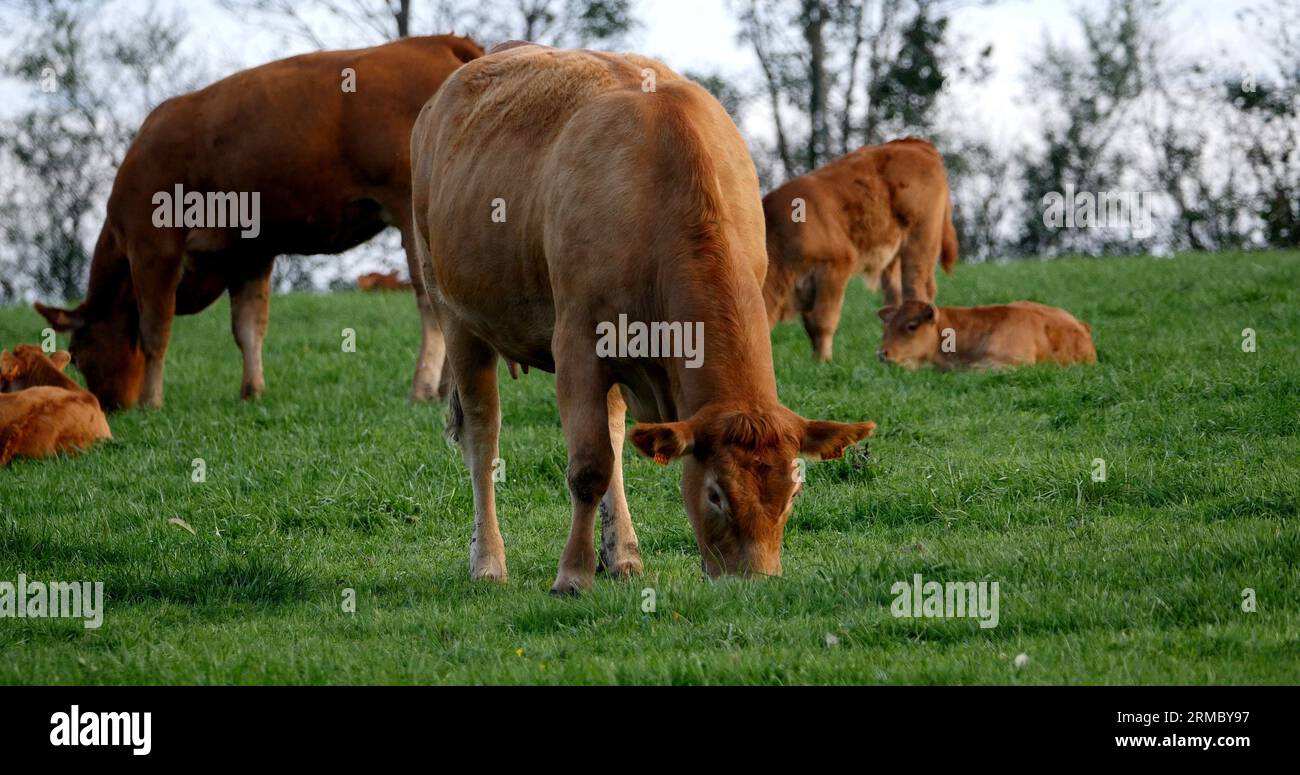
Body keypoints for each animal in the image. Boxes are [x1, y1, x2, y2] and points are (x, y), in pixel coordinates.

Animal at [34, 35, 484, 410]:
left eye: (79, 356)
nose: (109, 406)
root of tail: (436, 42)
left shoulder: (153, 246)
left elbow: (155, 329)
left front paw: (151, 401)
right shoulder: (249, 253)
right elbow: (249, 327)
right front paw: (252, 391)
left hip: (411, 214)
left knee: (431, 305)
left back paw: (424, 388)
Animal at [411, 43, 877, 594]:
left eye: (793, 494)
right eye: (716, 494)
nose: (755, 582)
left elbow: (608, 452)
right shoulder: (577, 343)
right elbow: (588, 467)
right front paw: (572, 574)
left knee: (611, 433)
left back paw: (623, 554)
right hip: (456, 316)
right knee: (484, 437)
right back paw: (488, 561)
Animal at [762, 137, 959, 362]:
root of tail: (914, 143)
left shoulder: (835, 267)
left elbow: (823, 321)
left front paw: (823, 362)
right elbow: (811, 326)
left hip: (920, 244)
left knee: (917, 290)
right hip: (893, 255)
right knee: (896, 297)